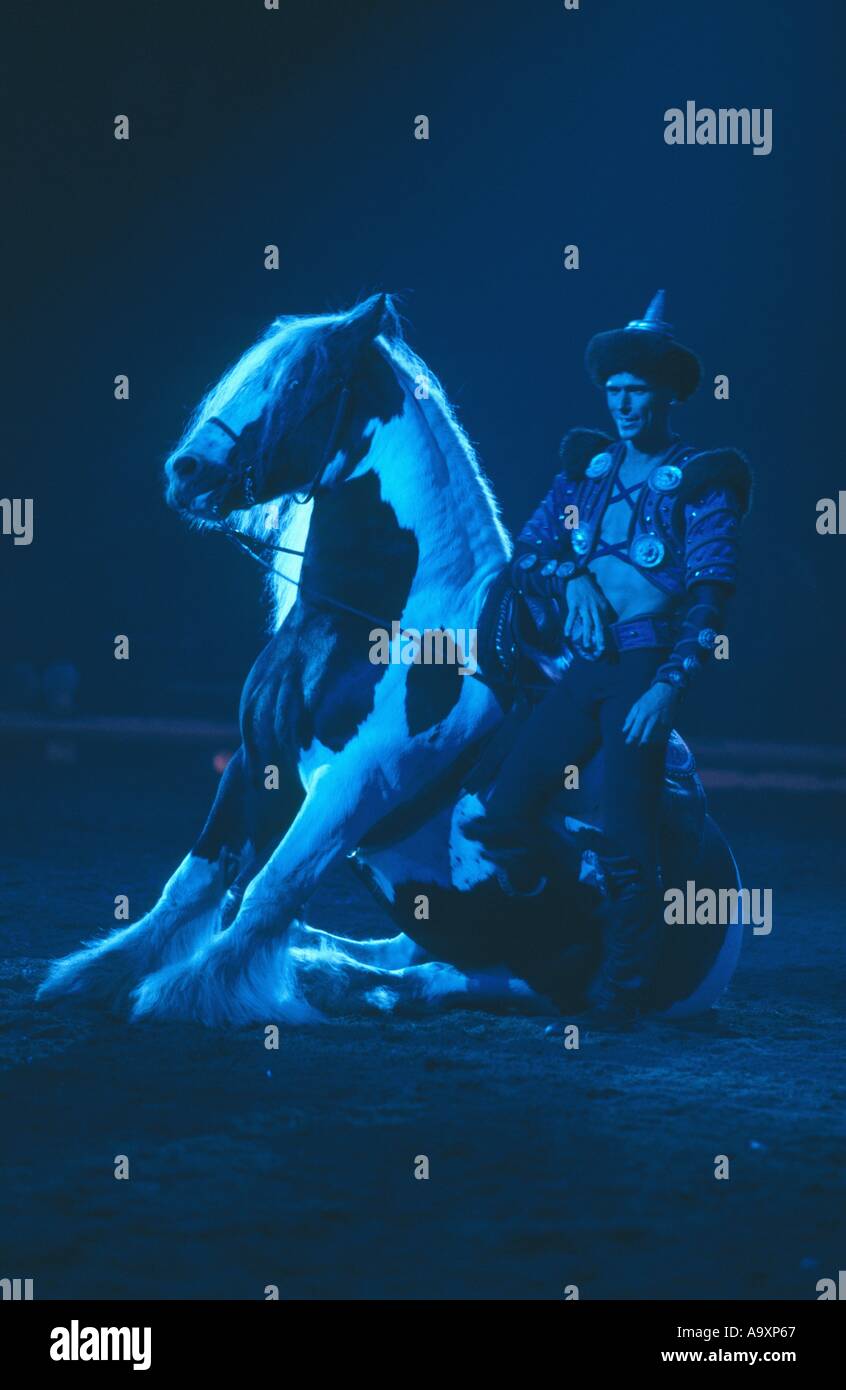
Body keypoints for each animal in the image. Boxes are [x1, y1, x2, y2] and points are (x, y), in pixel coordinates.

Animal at [38, 293, 743, 1026]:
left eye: (299, 381)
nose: (188, 470)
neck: (386, 628)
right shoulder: (253, 761)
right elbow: (195, 881)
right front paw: (96, 973)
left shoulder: (356, 783)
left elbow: (271, 886)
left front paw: (182, 992)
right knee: (402, 951)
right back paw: (319, 962)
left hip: (547, 965)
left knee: (445, 980)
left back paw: (336, 978)